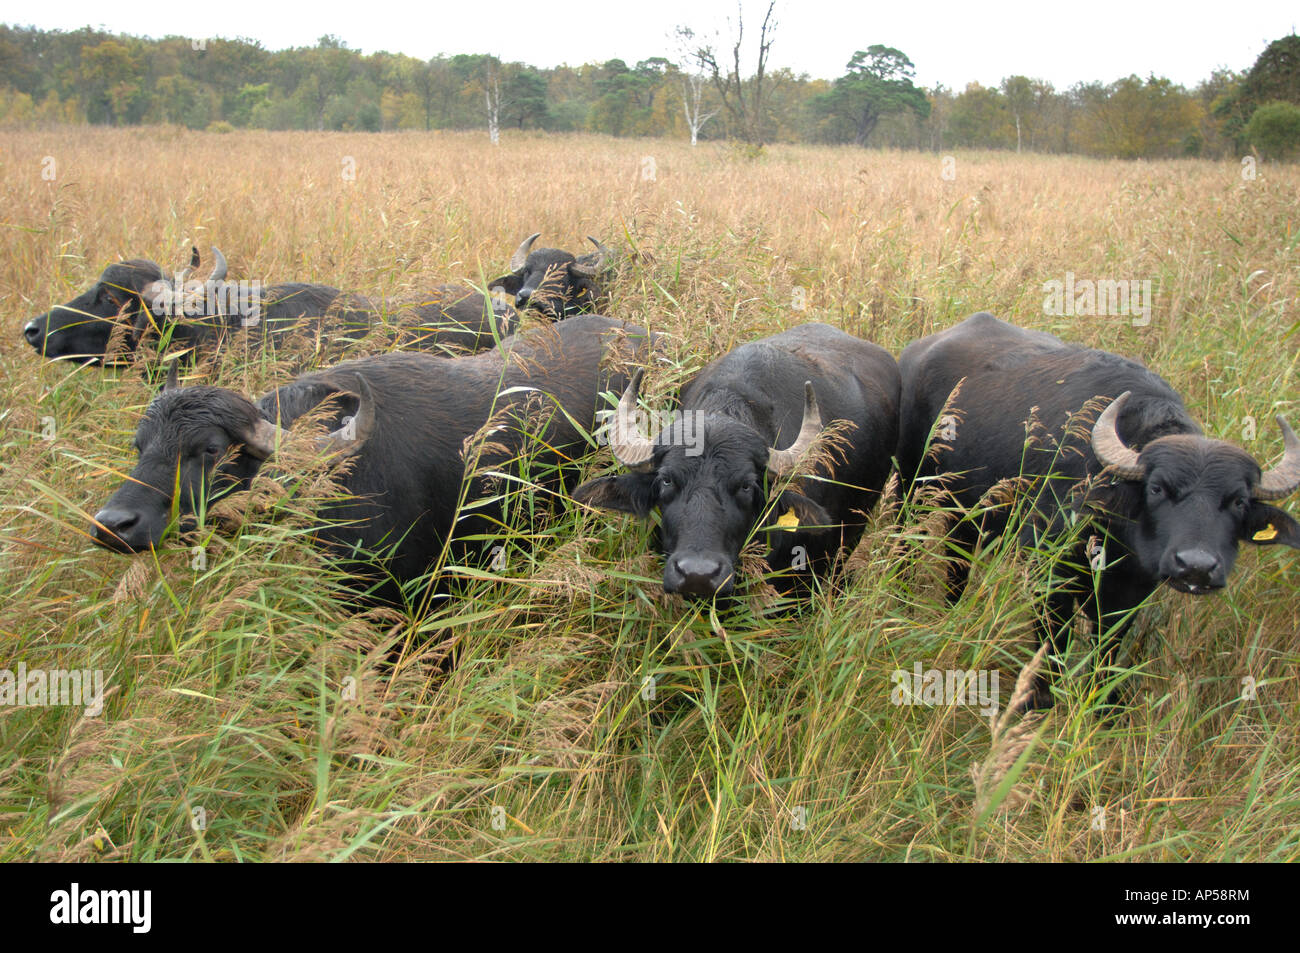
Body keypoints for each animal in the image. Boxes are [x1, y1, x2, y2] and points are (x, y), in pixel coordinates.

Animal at [897, 311, 1299, 706]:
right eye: (1156, 488)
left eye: (1239, 501)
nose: (1196, 567)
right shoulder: (1047, 574)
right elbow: (1051, 649)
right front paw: (1037, 700)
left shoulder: (1130, 595)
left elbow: (1107, 655)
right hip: (911, 491)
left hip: (966, 514)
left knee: (957, 562)